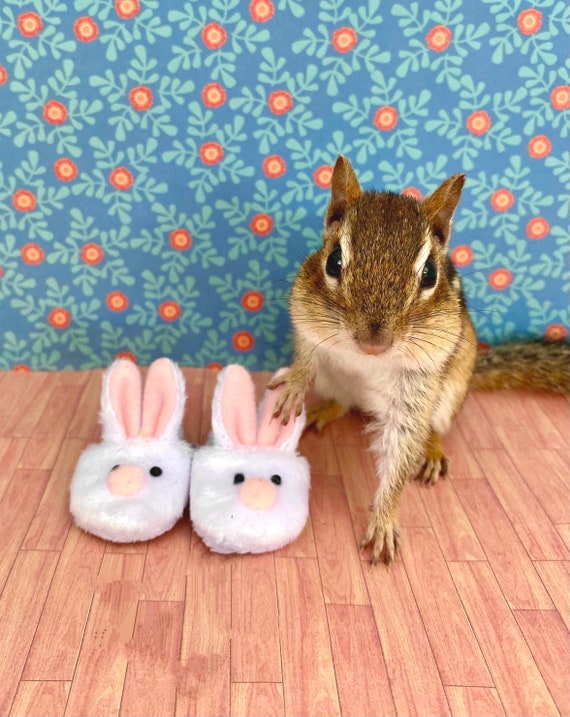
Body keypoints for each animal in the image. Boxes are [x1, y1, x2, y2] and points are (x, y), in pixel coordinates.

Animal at [270, 154, 570, 566]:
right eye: (333, 261)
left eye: (429, 274)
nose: (373, 341)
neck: (368, 360)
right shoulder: (307, 319)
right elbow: (305, 355)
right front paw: (295, 386)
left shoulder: (418, 382)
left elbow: (403, 447)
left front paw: (384, 520)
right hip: (335, 381)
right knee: (343, 402)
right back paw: (322, 409)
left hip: (449, 394)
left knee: (435, 427)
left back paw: (432, 451)